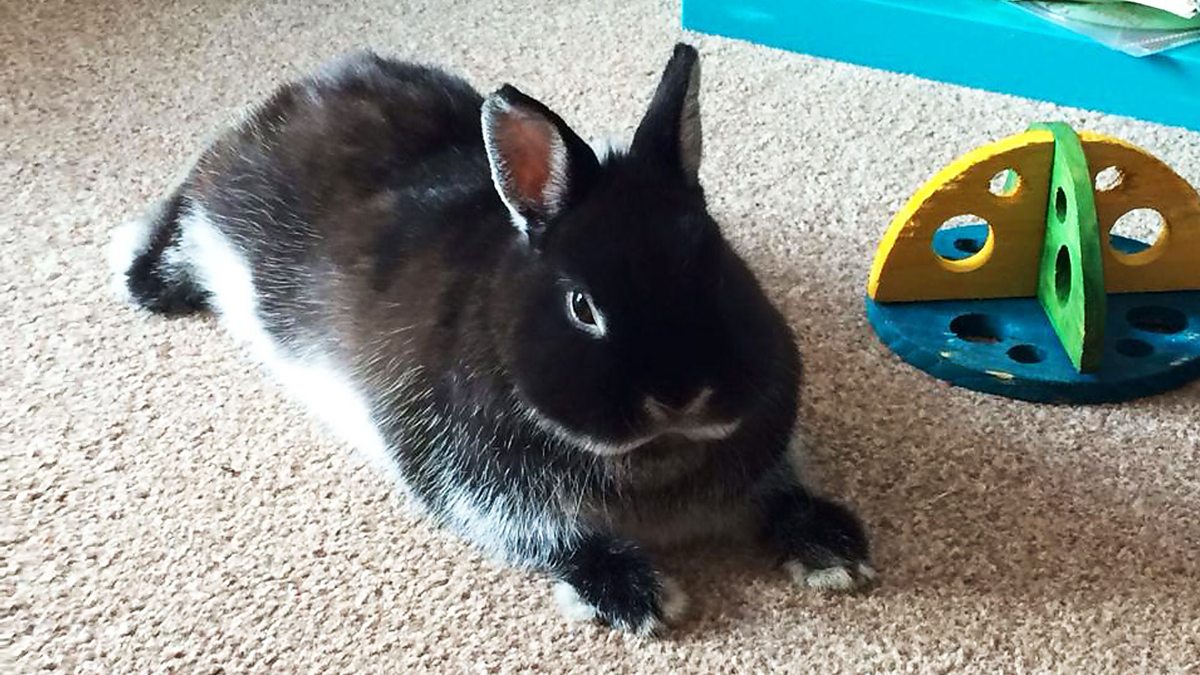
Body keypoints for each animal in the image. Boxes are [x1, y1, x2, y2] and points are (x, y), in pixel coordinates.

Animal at [108, 43, 875, 635]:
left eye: (718, 268)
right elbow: (551, 538)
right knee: (177, 220)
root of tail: (296, 94)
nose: (680, 393)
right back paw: (145, 279)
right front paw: (635, 596)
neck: (660, 454)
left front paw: (833, 549)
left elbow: (781, 489)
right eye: (582, 306)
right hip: (213, 215)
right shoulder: (469, 485)